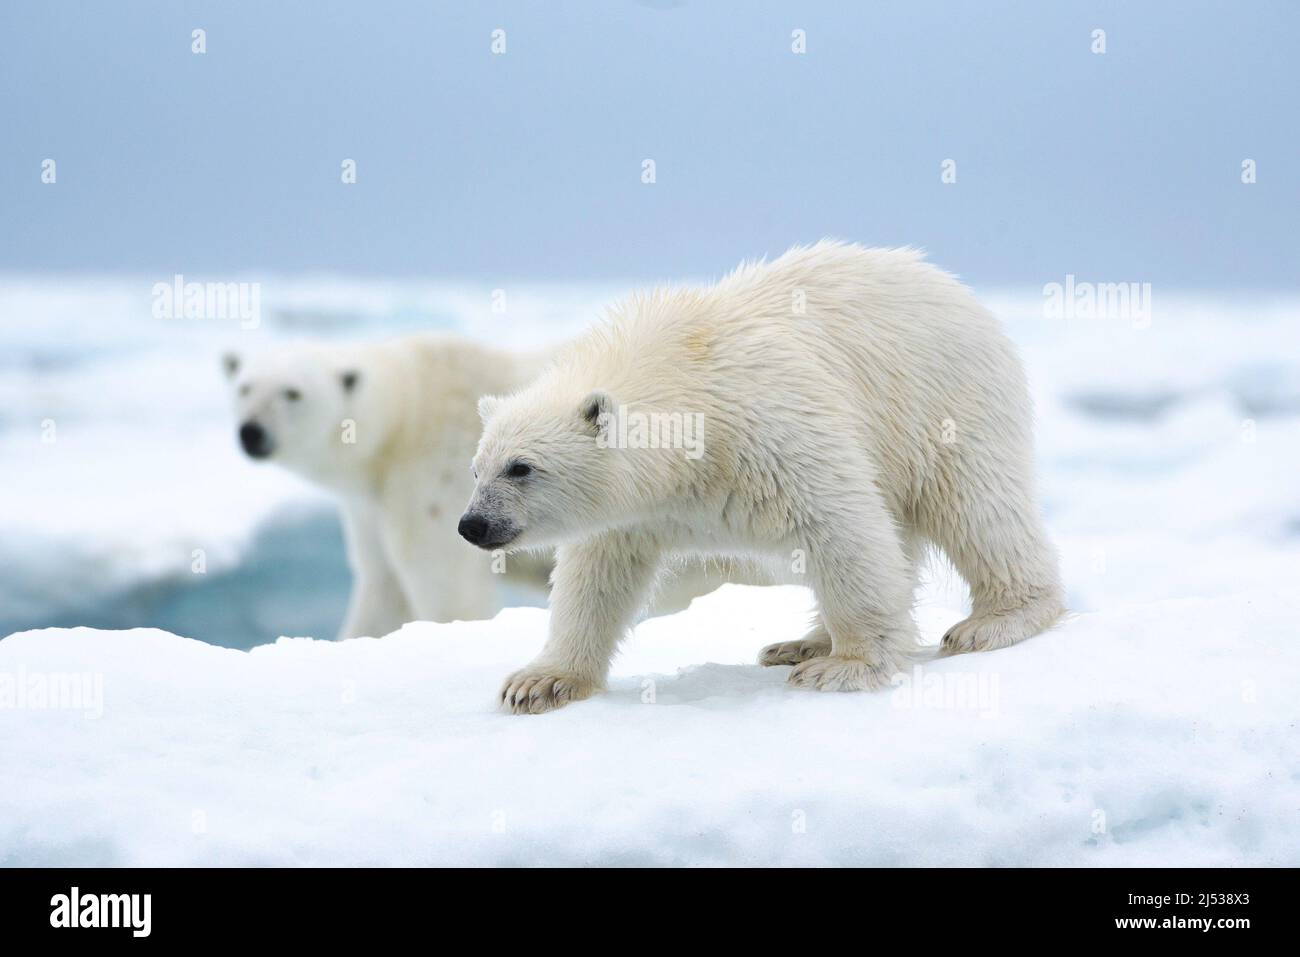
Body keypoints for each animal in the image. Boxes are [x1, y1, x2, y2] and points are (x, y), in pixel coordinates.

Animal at [462, 240, 1065, 714]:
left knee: (975, 507)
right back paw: (800, 642)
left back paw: (994, 621)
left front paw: (846, 667)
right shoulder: (636, 510)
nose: (473, 525)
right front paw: (539, 682)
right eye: (476, 467)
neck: (684, 378)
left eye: (521, 467)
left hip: (943, 405)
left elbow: (840, 526)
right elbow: (596, 576)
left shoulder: (770, 430)